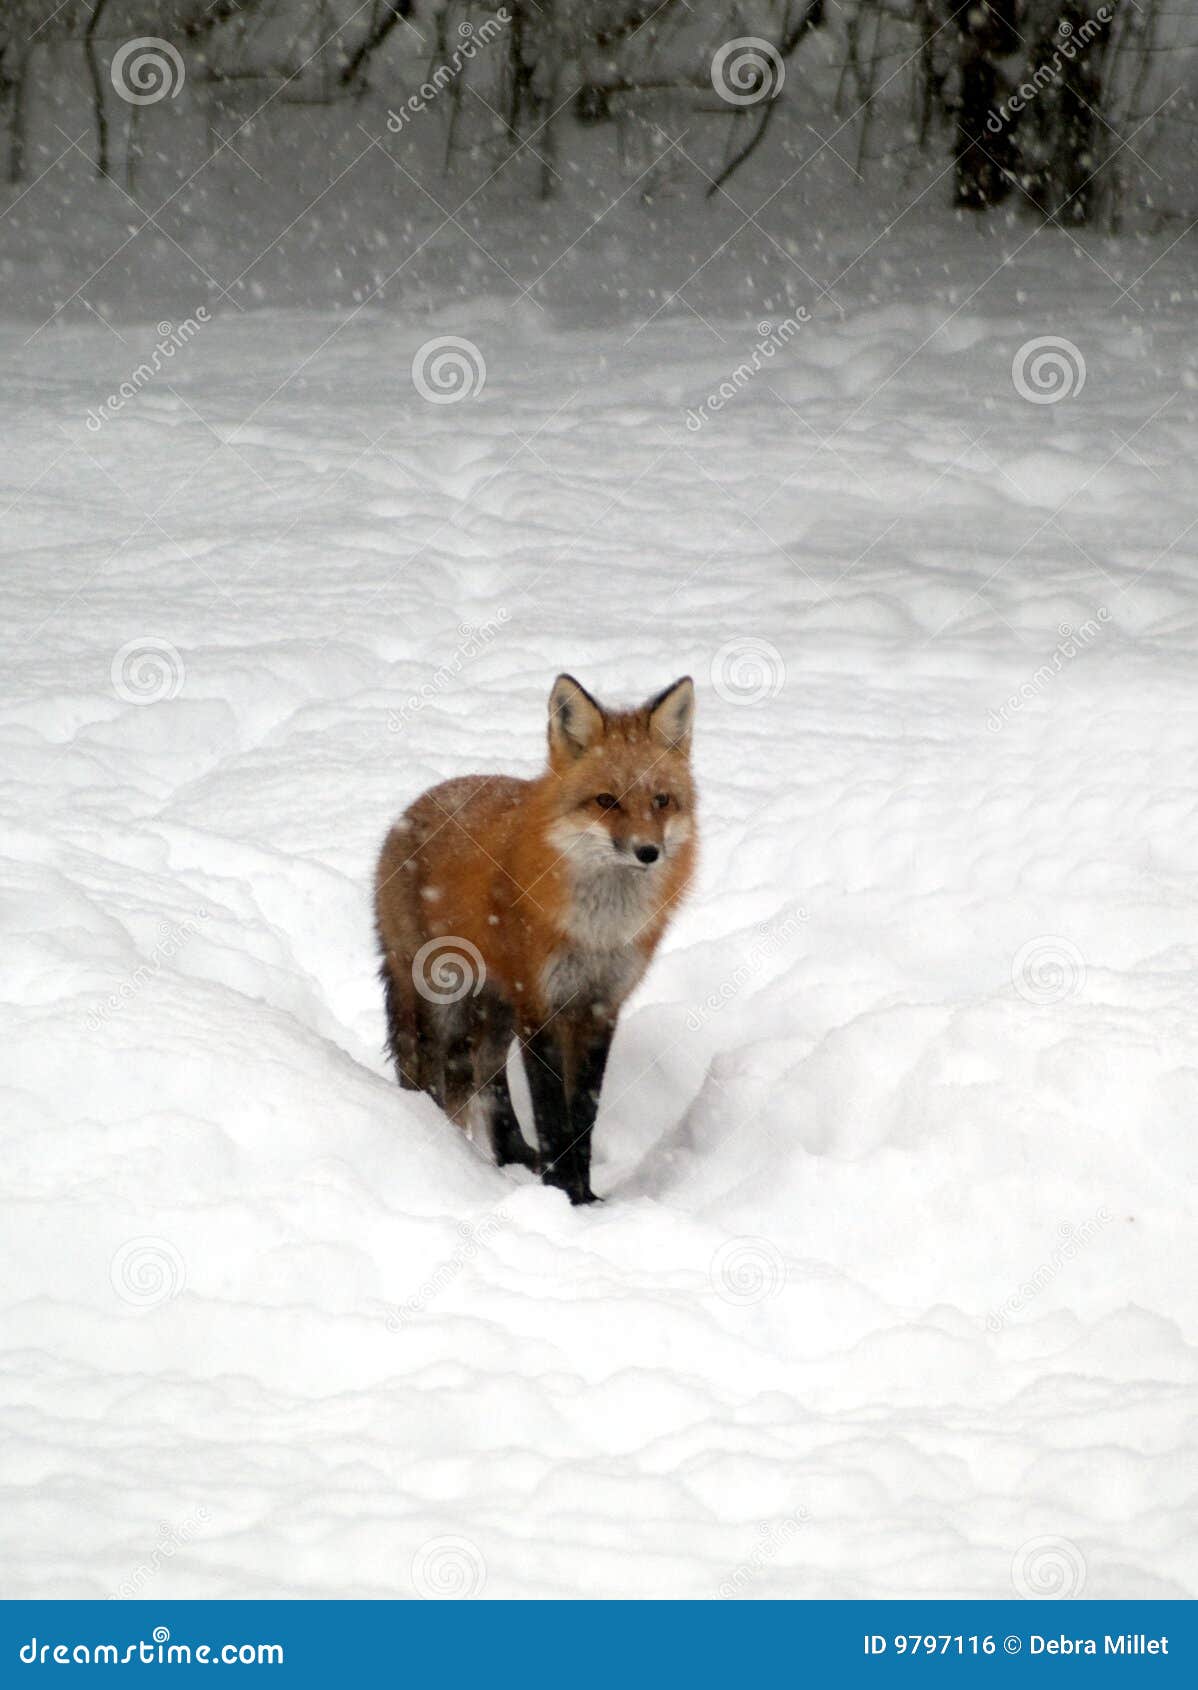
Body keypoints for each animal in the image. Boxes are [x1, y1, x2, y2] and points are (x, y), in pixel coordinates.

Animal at [374, 673, 697, 1204]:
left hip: (494, 1006)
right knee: (435, 1076)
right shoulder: (539, 1004)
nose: (648, 851)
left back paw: (511, 1154)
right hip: (438, 999)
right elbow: (552, 1113)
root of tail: (414, 807)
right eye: (606, 801)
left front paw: (584, 1196)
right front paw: (561, 1194)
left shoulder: (599, 1006)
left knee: (486, 1074)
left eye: (661, 801)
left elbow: (583, 1114)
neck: (597, 931)